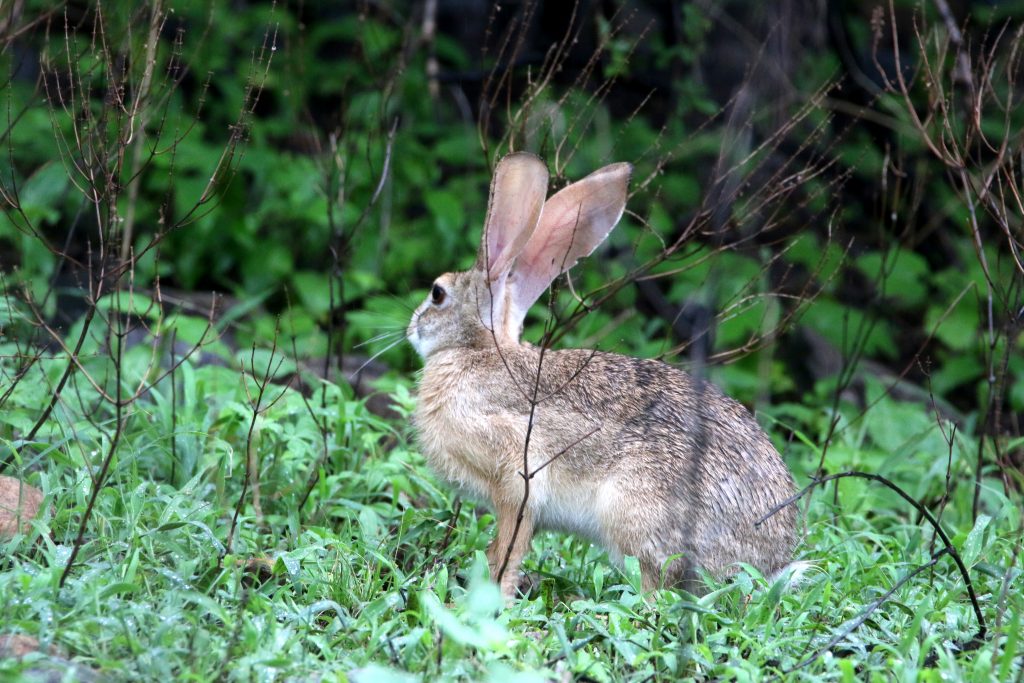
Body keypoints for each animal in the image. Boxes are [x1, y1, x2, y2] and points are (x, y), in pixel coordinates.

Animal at [408, 152, 797, 599]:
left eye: (437, 293)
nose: (411, 328)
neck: (481, 351)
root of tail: (766, 566)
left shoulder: (517, 475)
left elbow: (508, 547)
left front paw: (492, 596)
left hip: (633, 509)